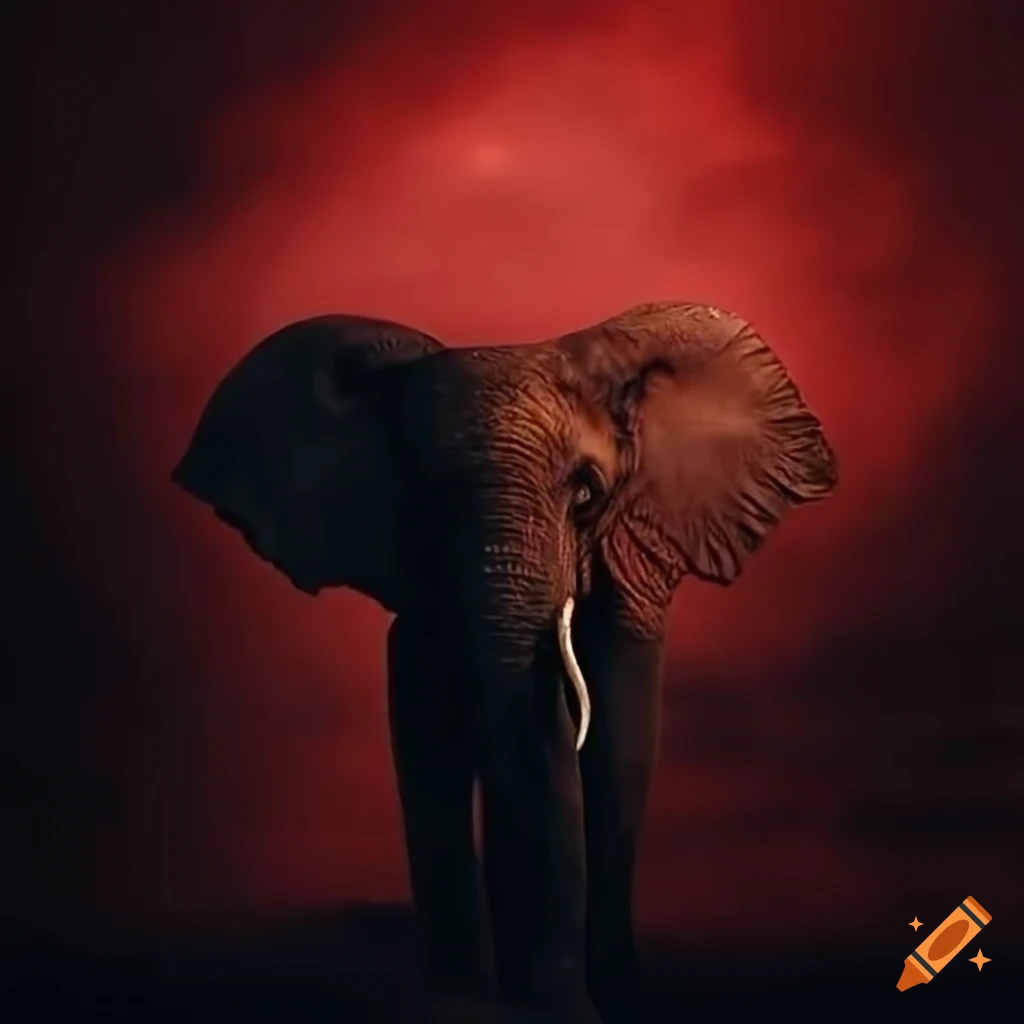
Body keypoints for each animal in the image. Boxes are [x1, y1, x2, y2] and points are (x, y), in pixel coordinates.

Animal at [171, 301, 837, 1021]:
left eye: (586, 495)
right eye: (424, 504)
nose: (554, 1000)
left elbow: (619, 745)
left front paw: (611, 1002)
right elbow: (429, 731)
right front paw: (466, 1001)